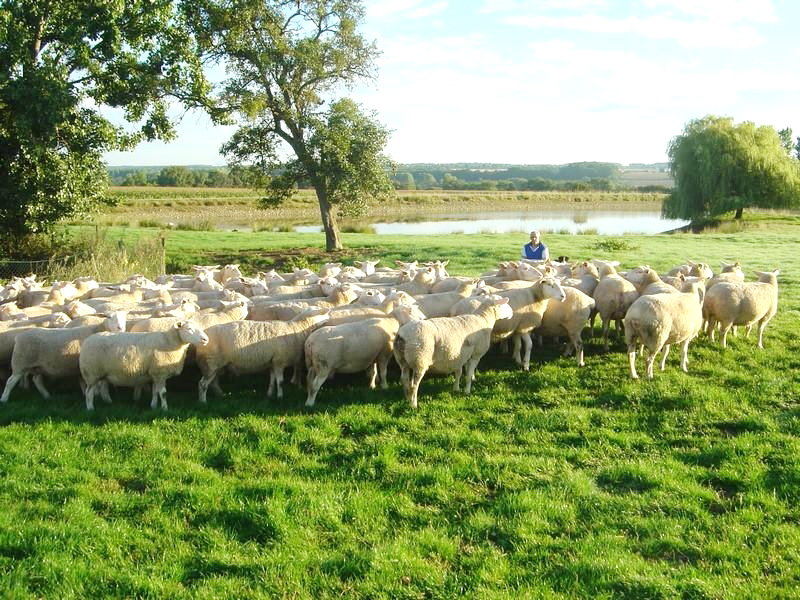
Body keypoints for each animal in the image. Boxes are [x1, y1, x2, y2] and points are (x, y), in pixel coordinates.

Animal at [80, 320, 210, 410]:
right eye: (189, 329)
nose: (206, 340)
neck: (169, 342)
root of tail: (87, 341)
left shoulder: (155, 374)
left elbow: (155, 391)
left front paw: (153, 406)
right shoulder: (160, 373)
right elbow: (163, 393)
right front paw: (165, 408)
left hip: (101, 373)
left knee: (99, 389)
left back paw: (106, 402)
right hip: (91, 373)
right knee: (88, 392)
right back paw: (90, 409)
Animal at [195, 308, 330, 404]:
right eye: (321, 312)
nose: (330, 315)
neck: (296, 328)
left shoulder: (273, 362)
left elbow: (272, 380)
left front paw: (270, 395)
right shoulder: (279, 361)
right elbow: (280, 381)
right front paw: (280, 397)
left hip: (213, 364)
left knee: (213, 382)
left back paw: (220, 394)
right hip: (211, 362)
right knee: (202, 384)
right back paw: (203, 402)